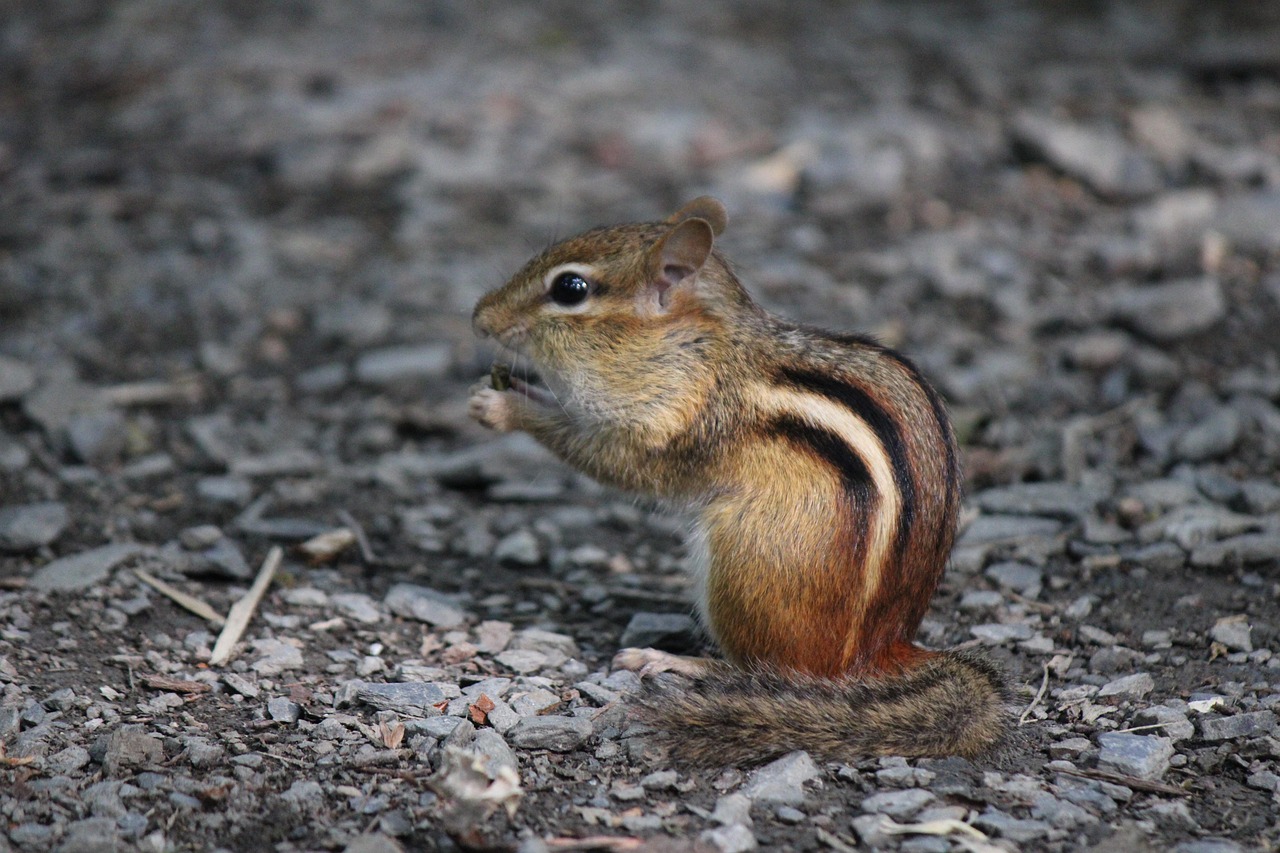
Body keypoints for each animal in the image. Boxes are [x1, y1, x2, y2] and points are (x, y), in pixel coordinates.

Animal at [468, 197, 1010, 766]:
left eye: (570, 288)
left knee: (766, 669)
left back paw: (677, 661)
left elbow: (607, 457)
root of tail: (882, 650)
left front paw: (502, 408)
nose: (479, 317)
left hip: (743, 559)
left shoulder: (671, 425)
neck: (692, 346)